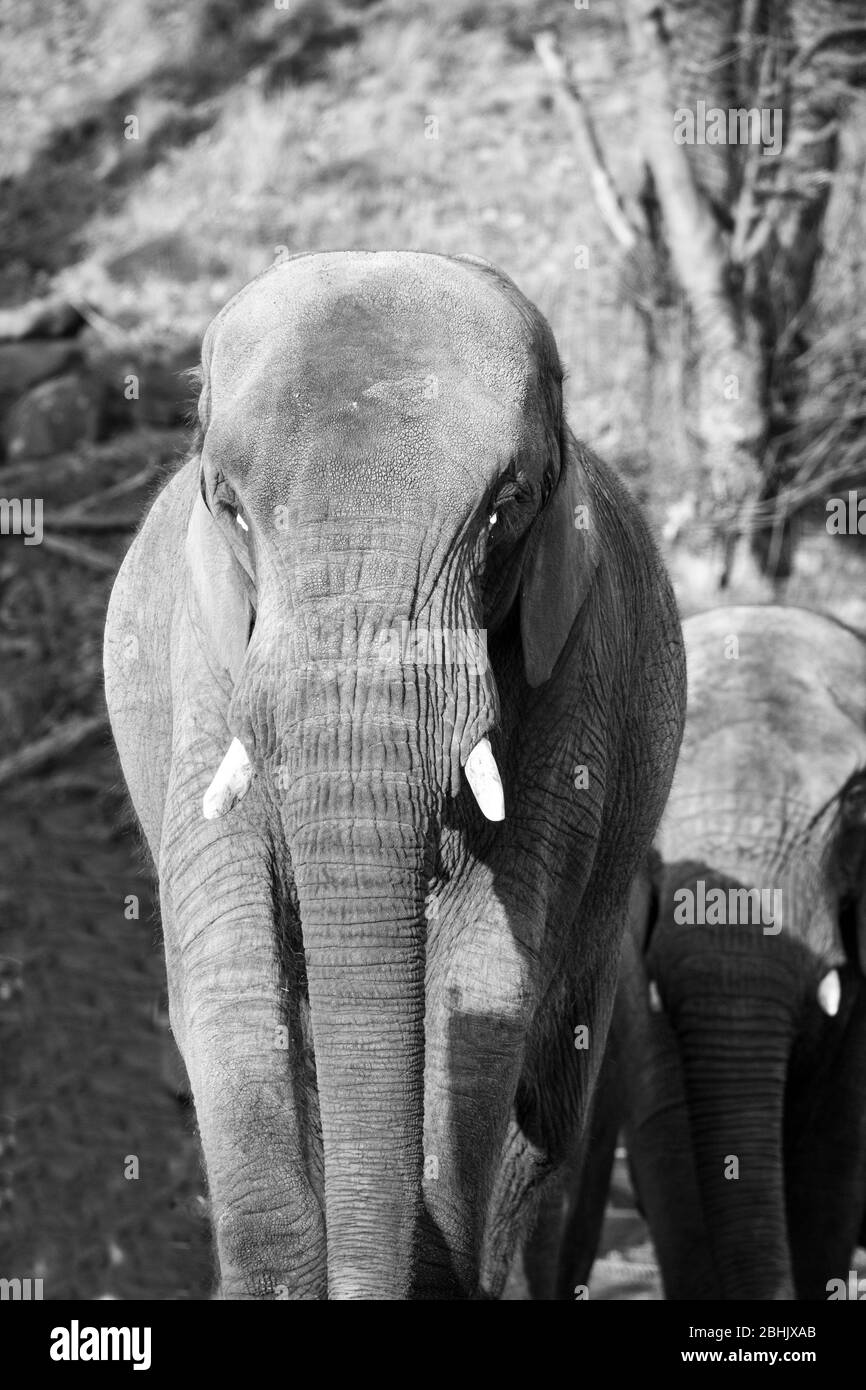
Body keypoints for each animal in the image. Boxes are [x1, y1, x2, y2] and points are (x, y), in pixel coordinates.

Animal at [103, 249, 686, 1300]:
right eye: (229, 507)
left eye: (507, 509)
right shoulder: (207, 667)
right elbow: (228, 963)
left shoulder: (578, 670)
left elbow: (489, 973)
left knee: (547, 1110)